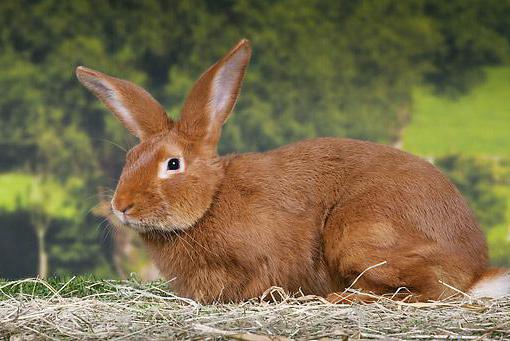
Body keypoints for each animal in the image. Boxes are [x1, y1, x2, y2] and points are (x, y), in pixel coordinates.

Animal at [76, 38, 510, 302]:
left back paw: (341, 298)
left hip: (359, 234)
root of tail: (474, 267)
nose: (121, 206)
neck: (211, 201)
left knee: (425, 289)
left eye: (173, 163)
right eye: (130, 158)